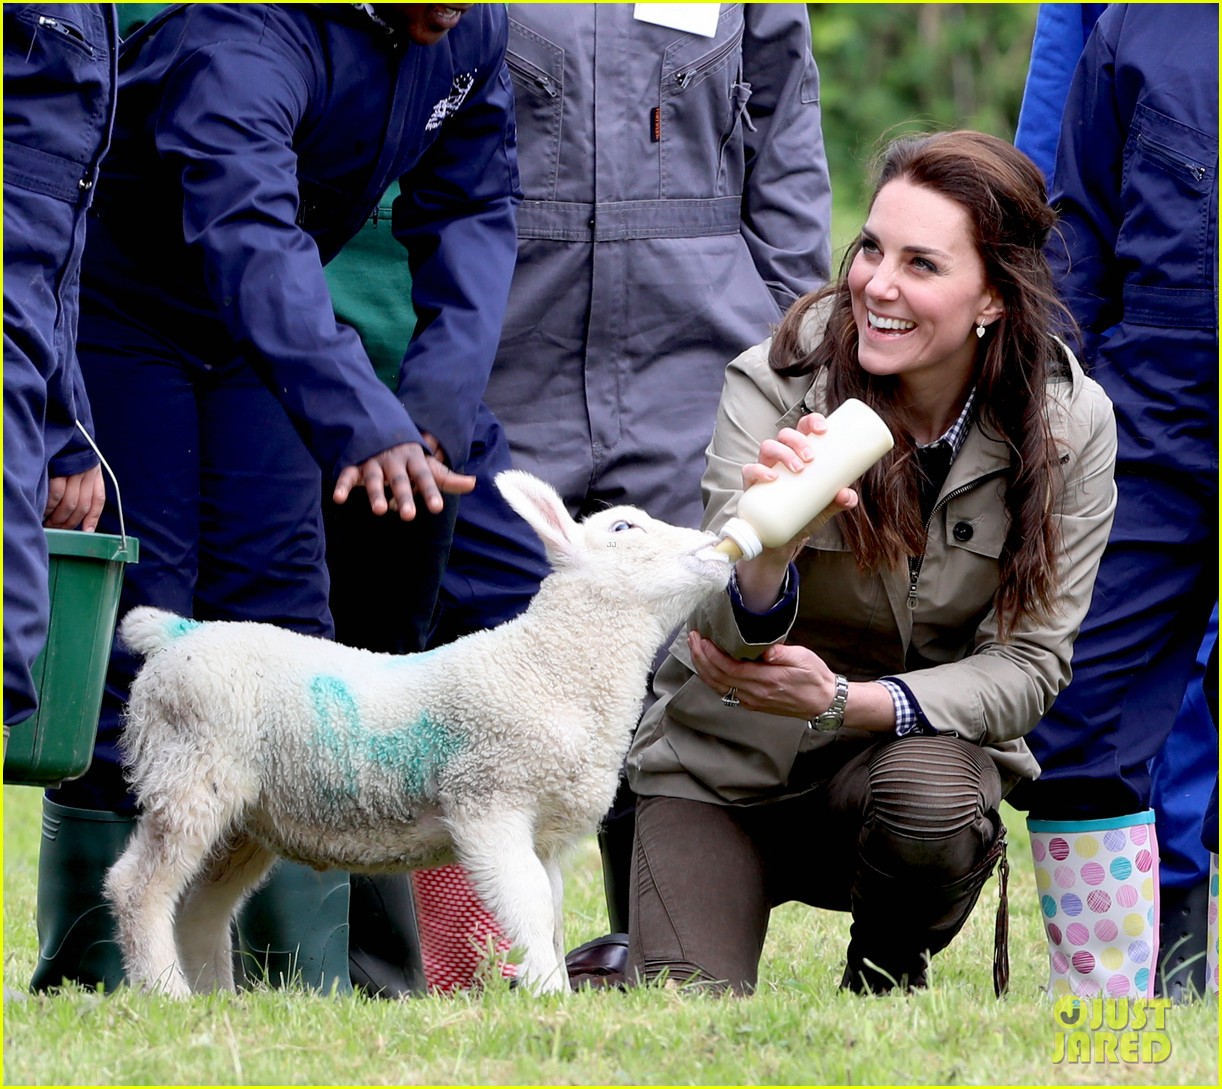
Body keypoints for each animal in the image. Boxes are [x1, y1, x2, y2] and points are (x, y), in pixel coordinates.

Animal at [102, 470, 731, 997]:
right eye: (623, 527)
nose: (718, 545)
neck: (548, 668)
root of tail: (175, 635)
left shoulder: (547, 832)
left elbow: (550, 911)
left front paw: (558, 987)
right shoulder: (487, 800)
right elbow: (527, 901)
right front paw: (549, 992)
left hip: (245, 815)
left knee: (201, 908)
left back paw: (217, 1000)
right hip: (189, 770)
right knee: (138, 887)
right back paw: (166, 993)